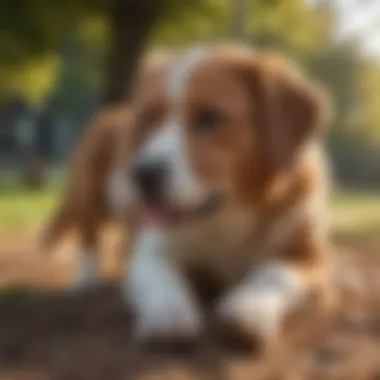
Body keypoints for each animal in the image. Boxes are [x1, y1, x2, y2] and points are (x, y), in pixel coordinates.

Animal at [121, 45, 332, 354]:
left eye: (210, 118)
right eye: (148, 117)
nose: (141, 174)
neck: (229, 215)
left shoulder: (312, 258)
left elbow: (272, 271)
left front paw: (248, 309)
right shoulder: (152, 247)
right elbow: (162, 276)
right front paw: (170, 314)